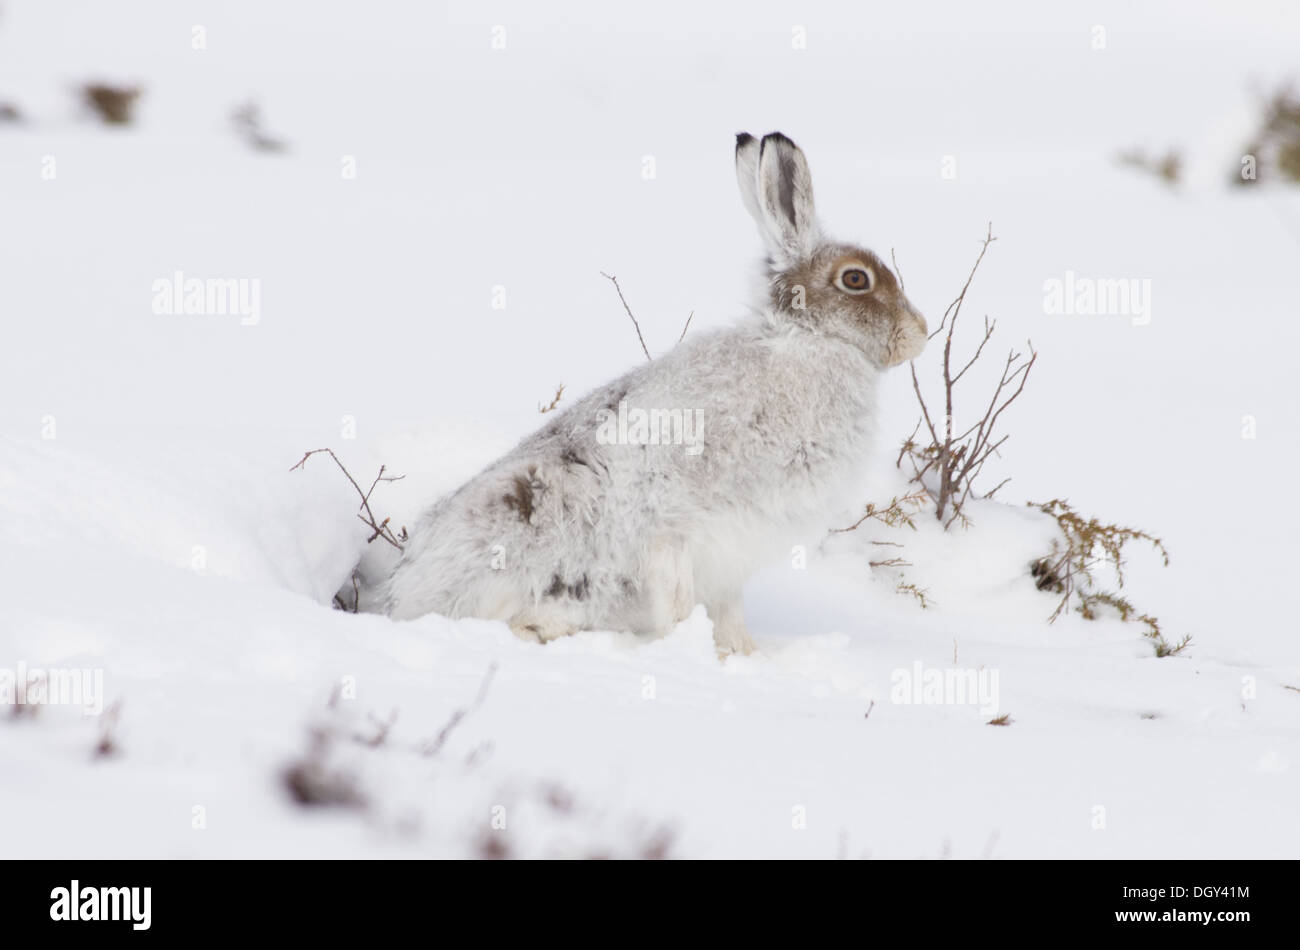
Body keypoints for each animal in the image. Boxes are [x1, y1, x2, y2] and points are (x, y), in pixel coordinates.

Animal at [384, 132, 928, 655]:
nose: (920, 332)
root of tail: (406, 595)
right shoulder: (672, 529)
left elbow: (729, 611)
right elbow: (680, 600)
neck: (807, 341)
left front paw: (744, 656)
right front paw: (699, 654)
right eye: (855, 279)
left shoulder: (729, 558)